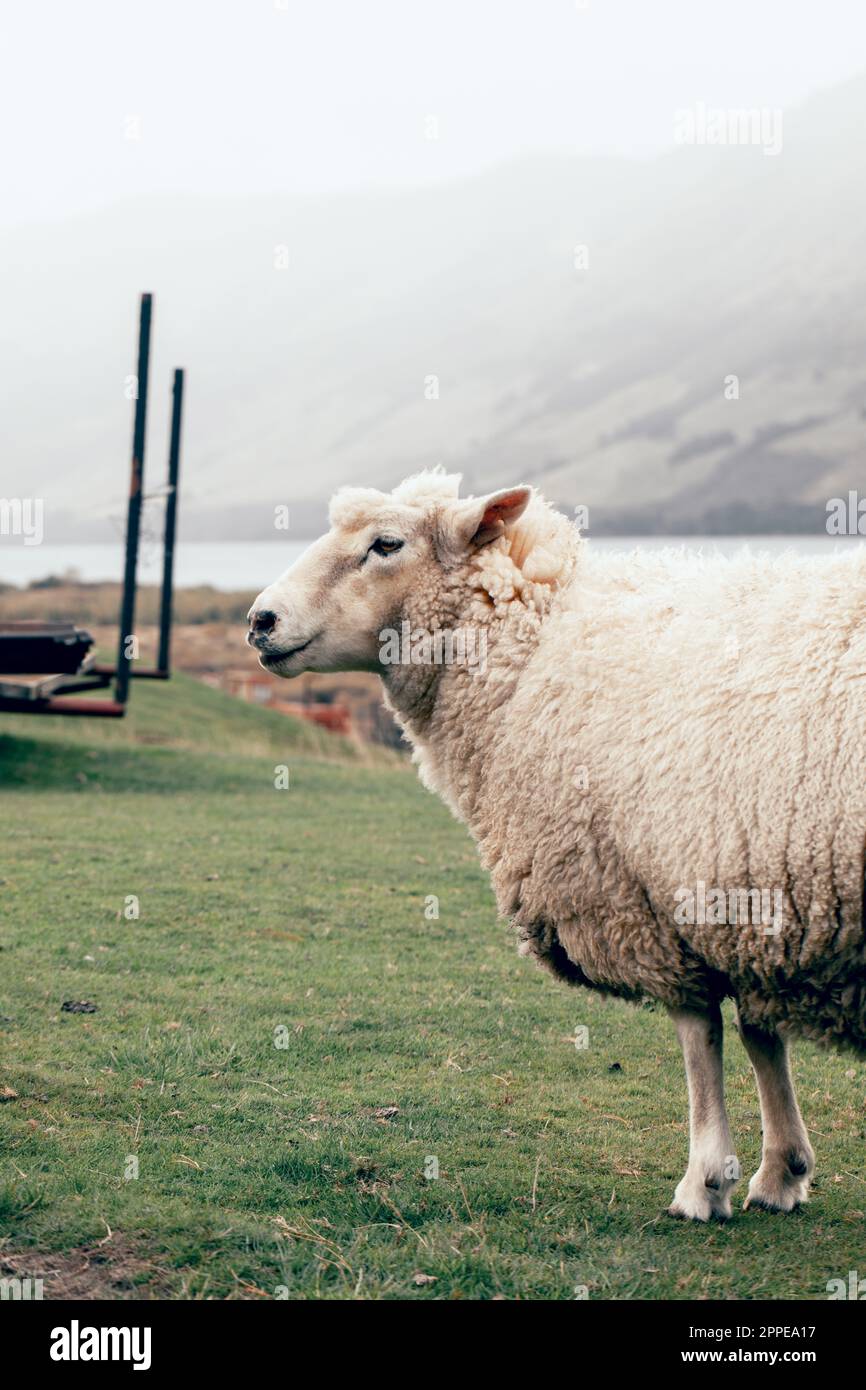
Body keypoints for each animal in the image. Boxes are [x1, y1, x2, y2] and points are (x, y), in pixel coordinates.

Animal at [248, 468, 866, 1222]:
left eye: (386, 544)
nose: (259, 620)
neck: (533, 653)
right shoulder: (746, 896)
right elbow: (759, 1032)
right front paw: (783, 1172)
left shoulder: (642, 898)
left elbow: (701, 1033)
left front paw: (705, 1181)